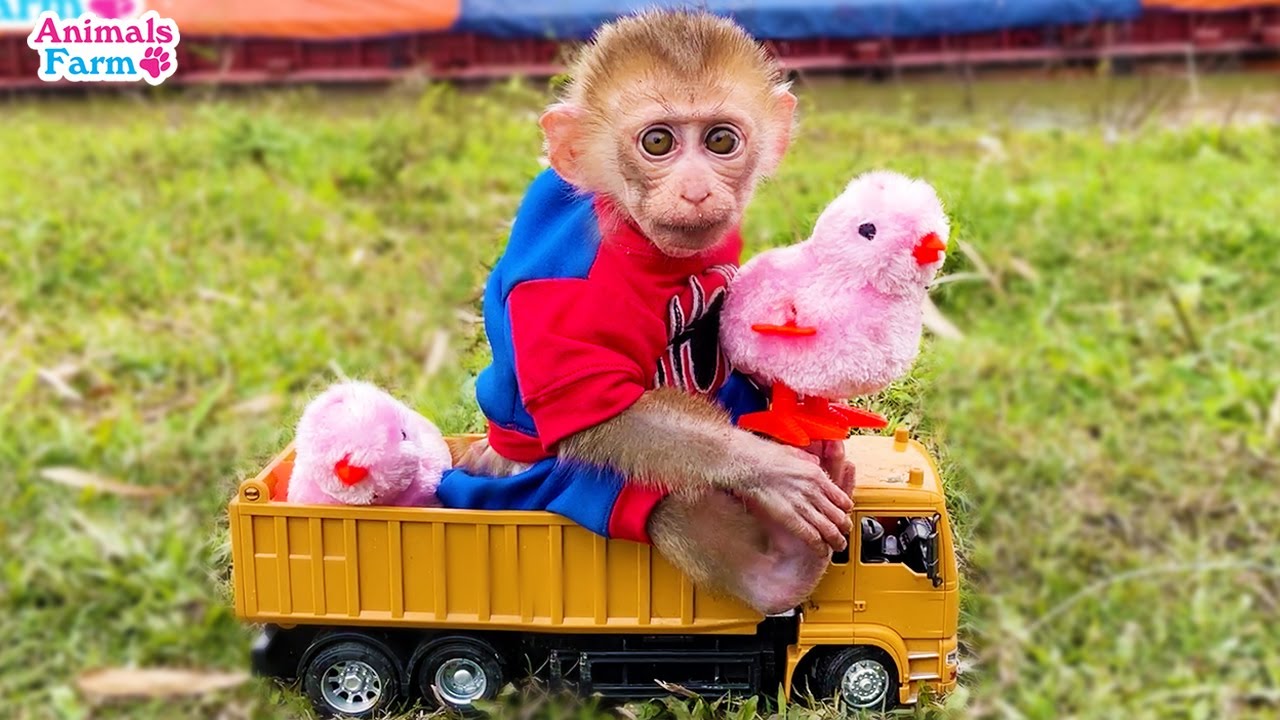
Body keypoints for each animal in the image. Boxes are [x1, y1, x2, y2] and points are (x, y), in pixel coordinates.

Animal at [436, 10, 855, 614]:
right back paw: (781, 570)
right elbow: (598, 412)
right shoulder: (565, 290)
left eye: (721, 140)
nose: (697, 191)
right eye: (657, 141)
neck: (637, 238)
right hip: (530, 483)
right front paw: (768, 469)